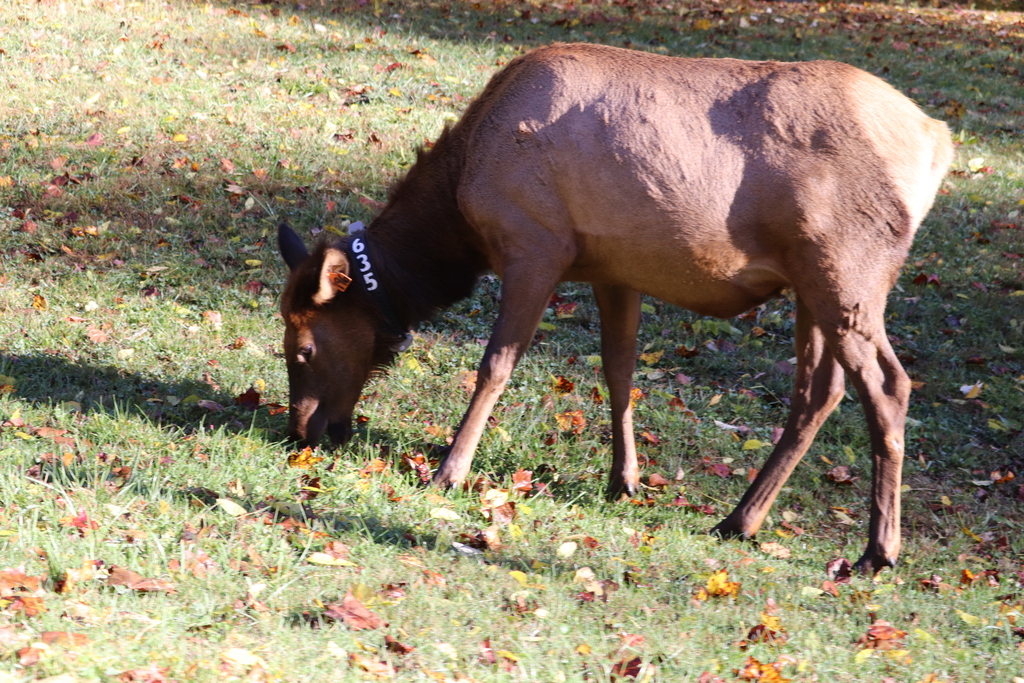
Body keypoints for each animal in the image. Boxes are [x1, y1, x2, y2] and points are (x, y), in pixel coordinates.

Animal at [277, 43, 952, 574]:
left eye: (303, 347)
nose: (300, 433)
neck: (460, 208)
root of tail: (936, 140)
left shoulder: (536, 245)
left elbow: (496, 364)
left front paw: (449, 470)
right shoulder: (614, 270)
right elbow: (619, 371)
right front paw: (622, 479)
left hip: (847, 272)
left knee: (889, 385)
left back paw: (877, 551)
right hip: (812, 285)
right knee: (818, 391)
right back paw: (739, 520)